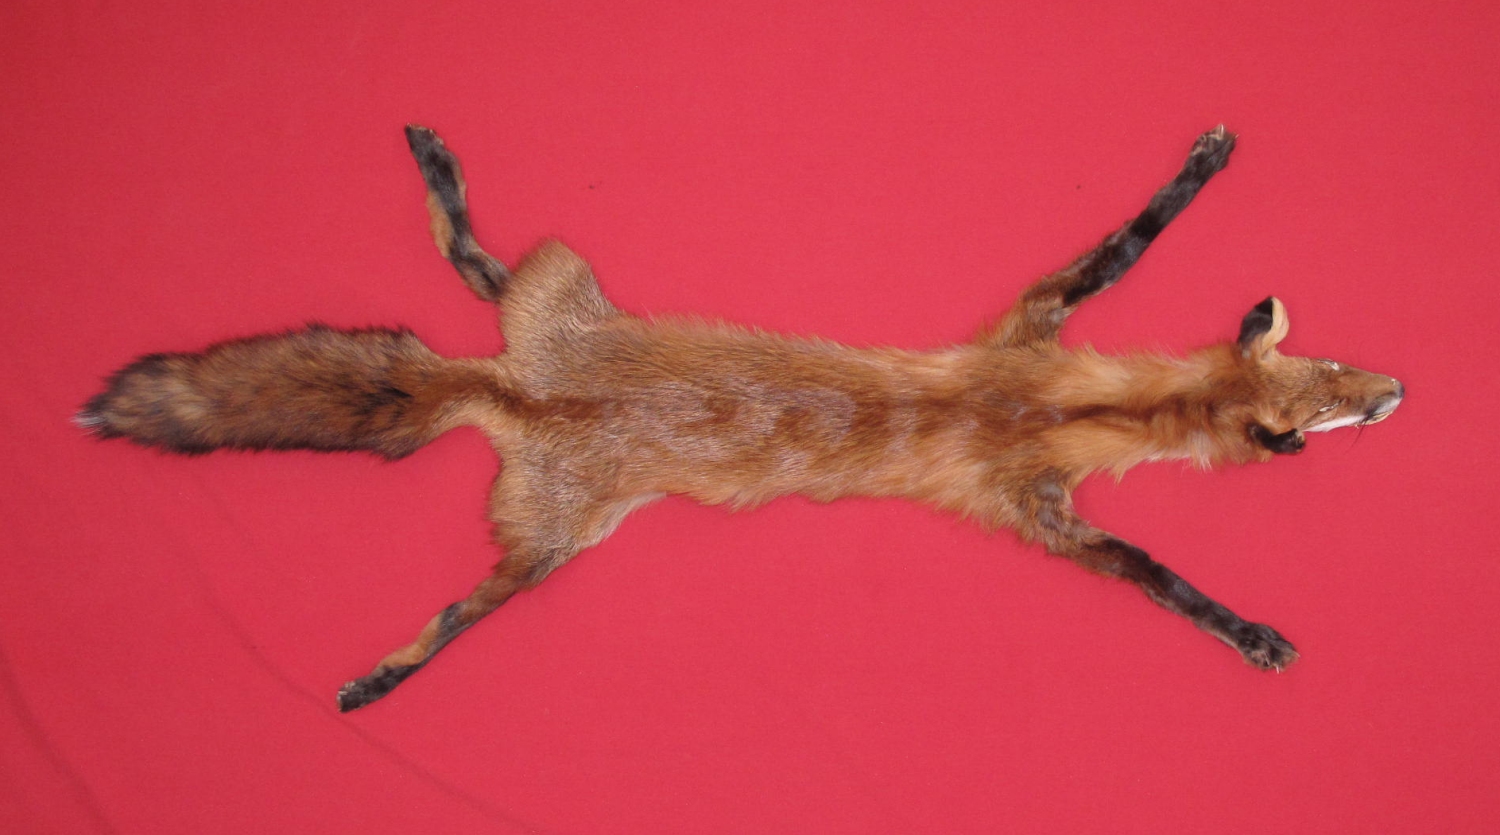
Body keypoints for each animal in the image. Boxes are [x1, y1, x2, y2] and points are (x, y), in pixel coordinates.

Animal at [79, 125, 1404, 712]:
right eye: (1338, 408)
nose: (1398, 392)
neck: (1050, 400)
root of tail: (510, 390)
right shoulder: (1038, 480)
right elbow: (1157, 568)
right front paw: (1248, 631)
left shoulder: (1032, 330)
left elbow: (1123, 243)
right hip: (554, 543)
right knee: (468, 600)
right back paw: (384, 674)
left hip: (557, 293)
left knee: (483, 273)